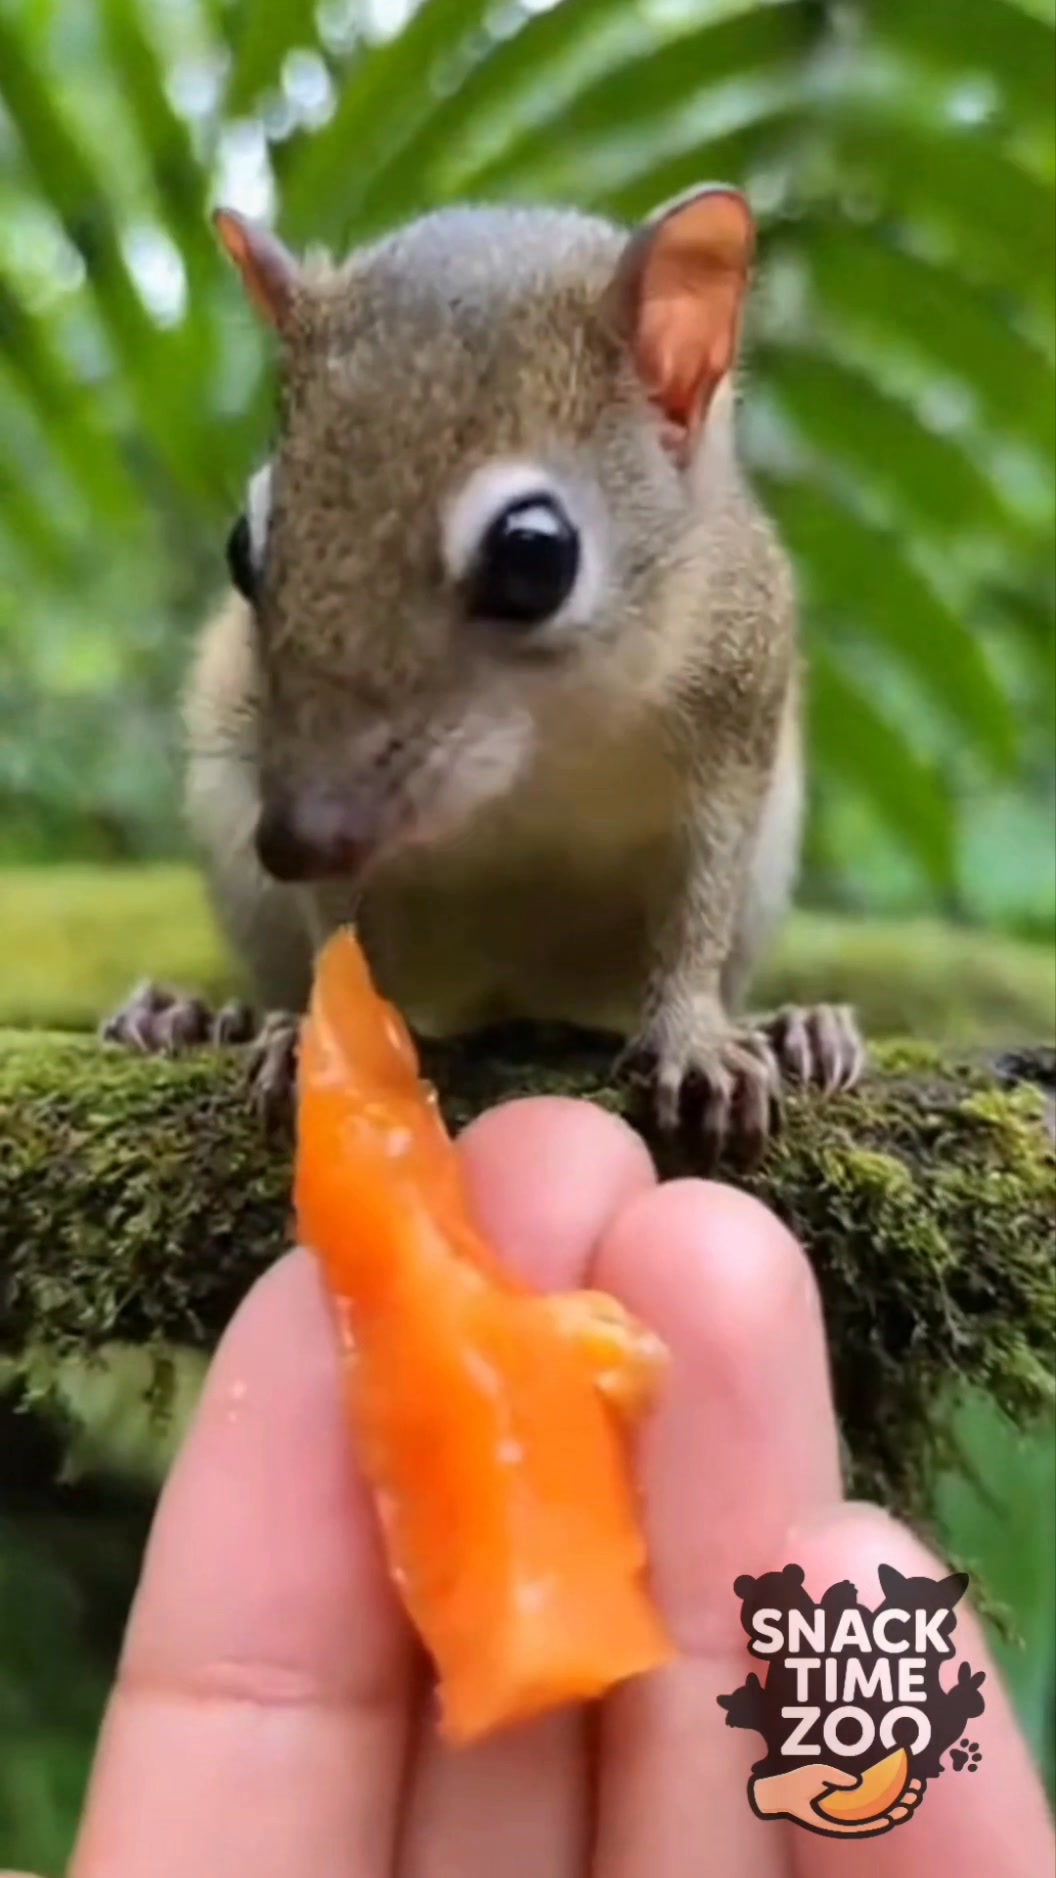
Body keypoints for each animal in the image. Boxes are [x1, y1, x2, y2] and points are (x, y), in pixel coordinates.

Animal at [101, 184, 863, 1168]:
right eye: (243, 547)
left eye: (533, 555)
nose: (292, 841)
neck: (543, 751)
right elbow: (339, 931)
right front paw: (314, 1037)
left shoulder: (738, 713)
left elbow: (698, 911)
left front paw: (698, 1039)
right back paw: (192, 1017)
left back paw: (801, 1029)